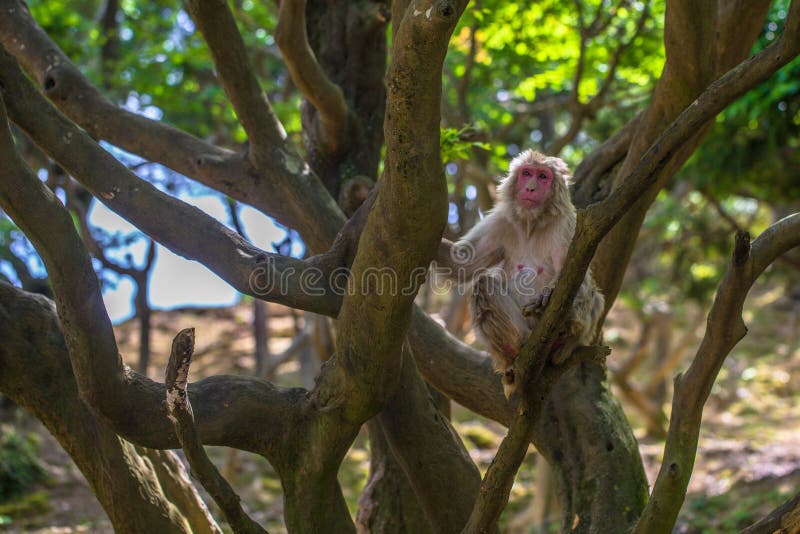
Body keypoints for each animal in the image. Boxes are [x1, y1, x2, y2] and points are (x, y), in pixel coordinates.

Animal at [438, 150, 604, 397]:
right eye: (527, 173)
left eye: (543, 176)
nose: (531, 188)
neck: (531, 223)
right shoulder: (500, 222)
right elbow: (462, 265)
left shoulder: (570, 225)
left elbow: (578, 277)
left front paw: (548, 294)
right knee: (485, 284)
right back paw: (515, 351)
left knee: (589, 297)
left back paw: (566, 337)